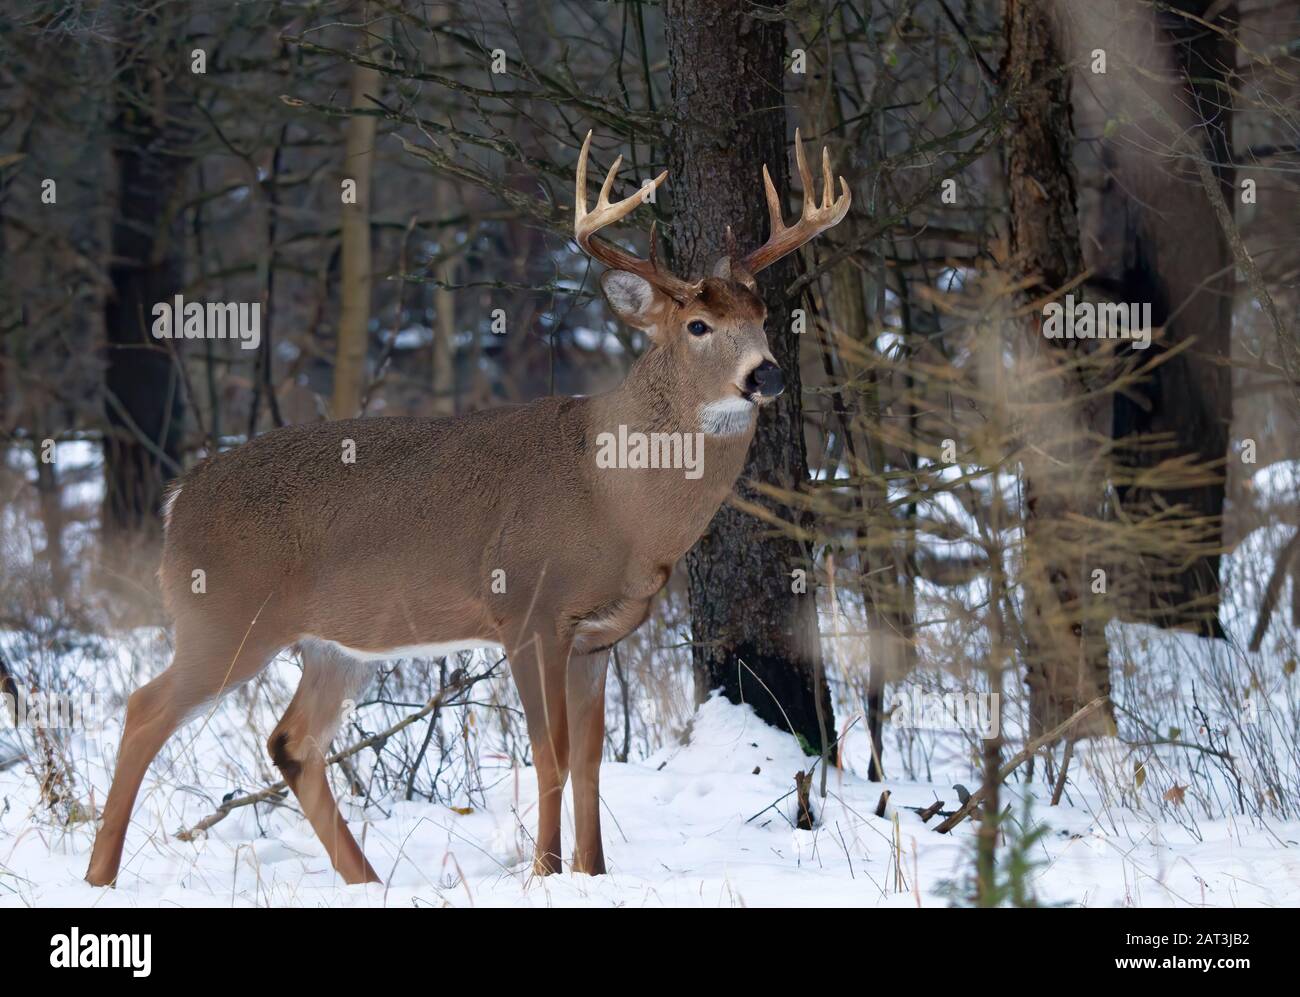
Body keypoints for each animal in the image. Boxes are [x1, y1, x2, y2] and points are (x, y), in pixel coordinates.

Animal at [85, 129, 850, 887]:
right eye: (696, 325)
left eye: (761, 316)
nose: (767, 373)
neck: (619, 501)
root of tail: (177, 498)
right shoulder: (528, 612)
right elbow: (552, 753)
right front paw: (545, 872)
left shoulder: (599, 636)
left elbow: (593, 763)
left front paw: (593, 872)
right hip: (222, 615)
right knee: (145, 708)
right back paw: (100, 875)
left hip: (331, 644)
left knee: (291, 740)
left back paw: (366, 880)